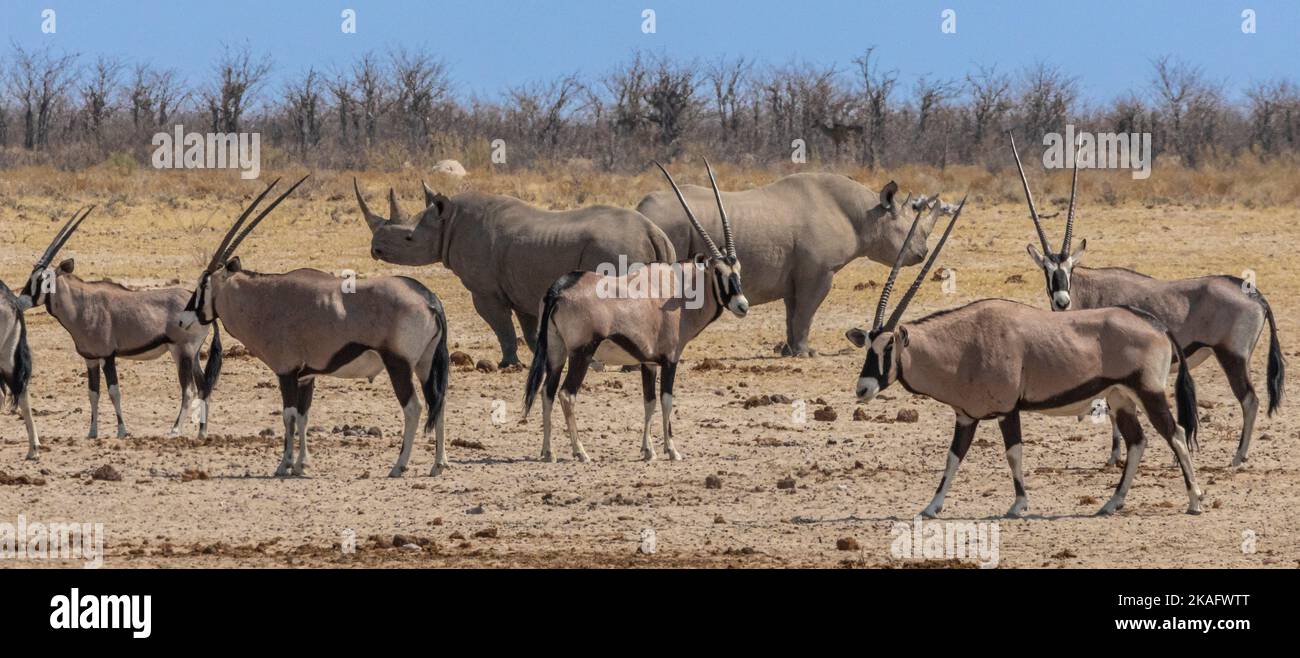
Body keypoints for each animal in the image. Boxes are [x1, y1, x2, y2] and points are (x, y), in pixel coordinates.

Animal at [356, 181, 676, 367]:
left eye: (408, 238)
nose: (375, 249)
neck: (448, 221)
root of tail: (653, 231)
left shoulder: (485, 290)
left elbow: (501, 326)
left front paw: (508, 364)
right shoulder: (522, 284)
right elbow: (529, 327)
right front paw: (539, 357)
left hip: (616, 248)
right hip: (652, 248)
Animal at [636, 172, 949, 356]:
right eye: (908, 232)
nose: (922, 253)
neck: (868, 215)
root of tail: (641, 211)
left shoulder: (795, 274)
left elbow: (793, 313)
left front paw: (788, 351)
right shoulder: (820, 271)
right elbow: (807, 311)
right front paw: (805, 353)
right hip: (670, 226)